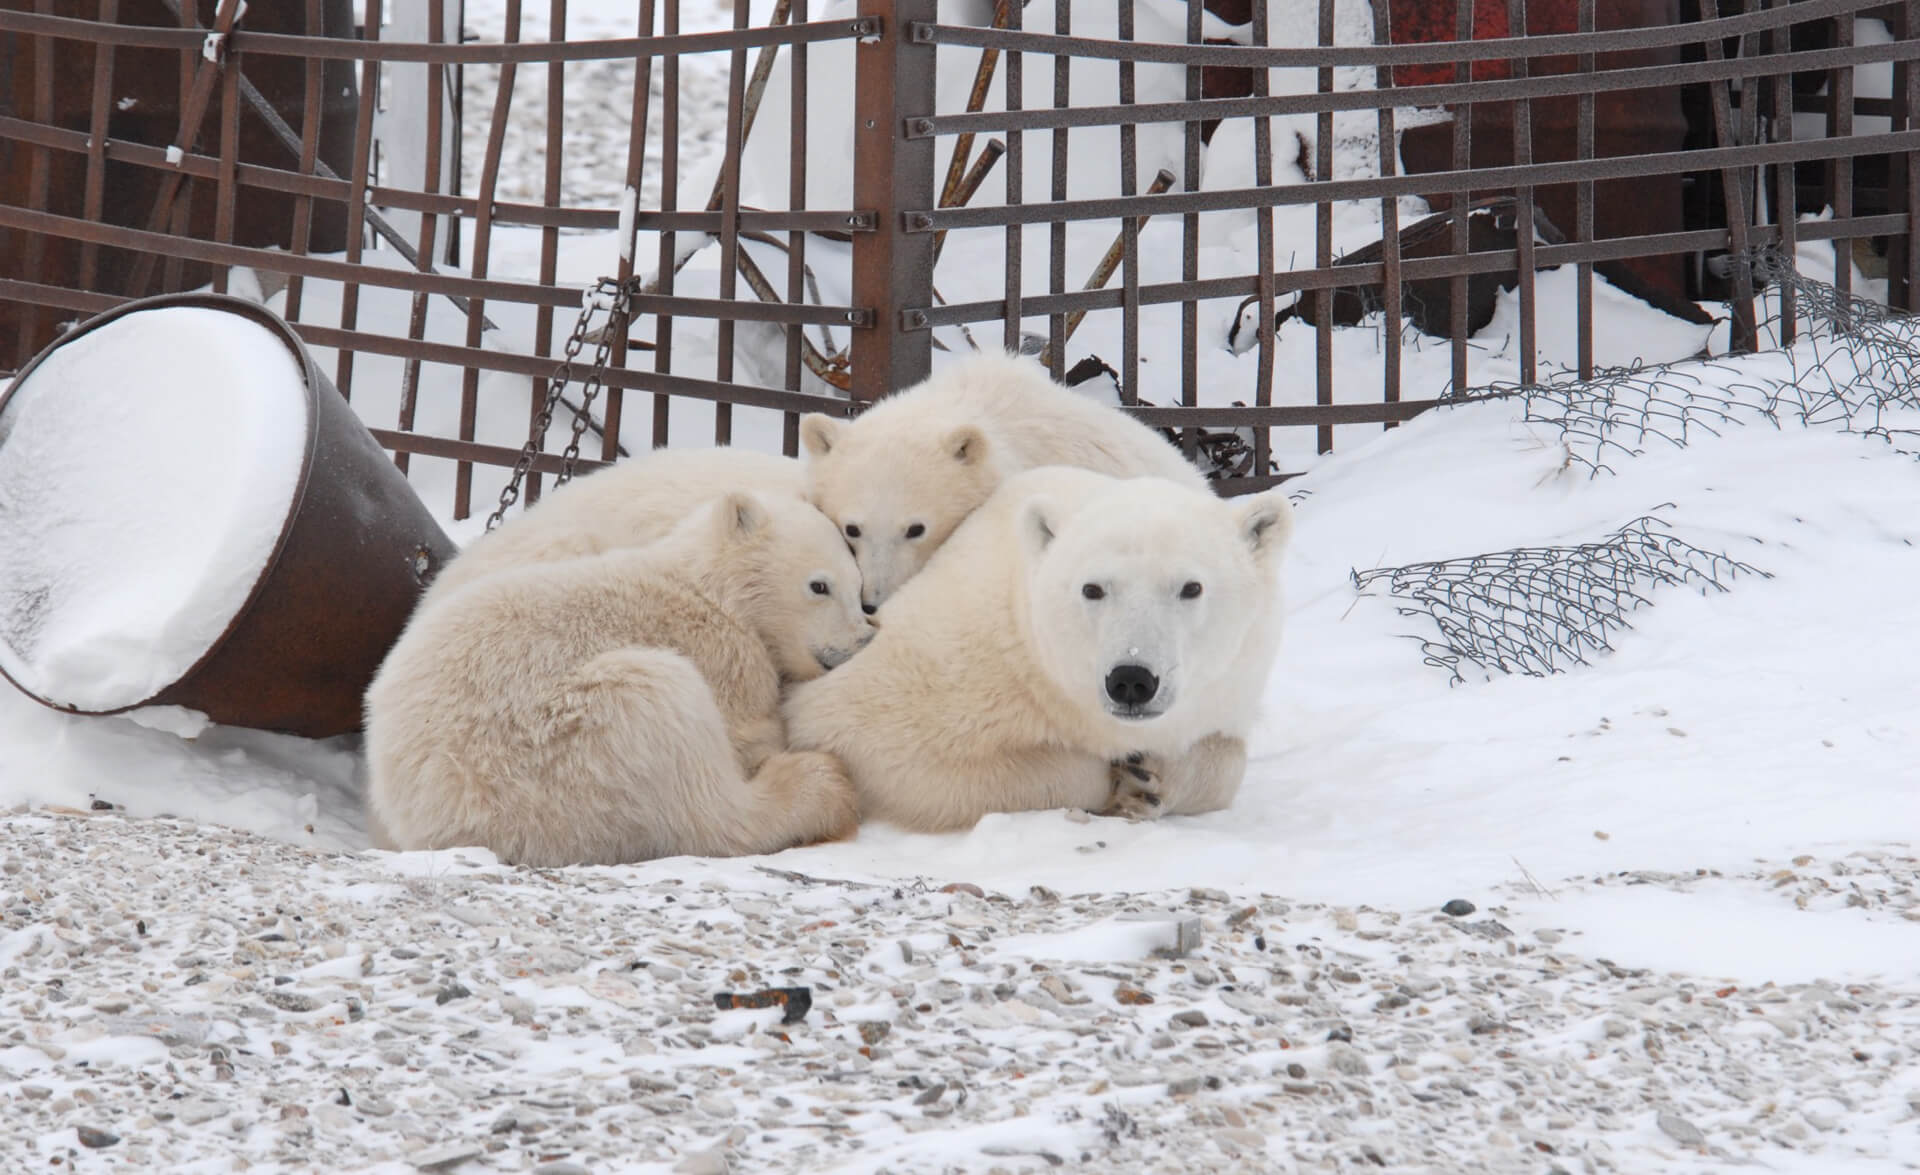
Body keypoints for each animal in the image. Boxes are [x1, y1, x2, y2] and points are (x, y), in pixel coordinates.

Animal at [364, 491, 874, 866]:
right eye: (819, 586)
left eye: (859, 585)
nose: (864, 639)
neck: (712, 592)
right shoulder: (725, 654)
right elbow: (746, 732)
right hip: (556, 754)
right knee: (686, 765)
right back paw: (820, 785)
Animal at [782, 466, 1293, 832]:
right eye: (1092, 588)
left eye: (1191, 587)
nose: (1131, 680)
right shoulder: (958, 659)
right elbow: (871, 736)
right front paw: (1119, 782)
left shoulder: (1230, 690)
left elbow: (1225, 758)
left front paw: (1150, 779)